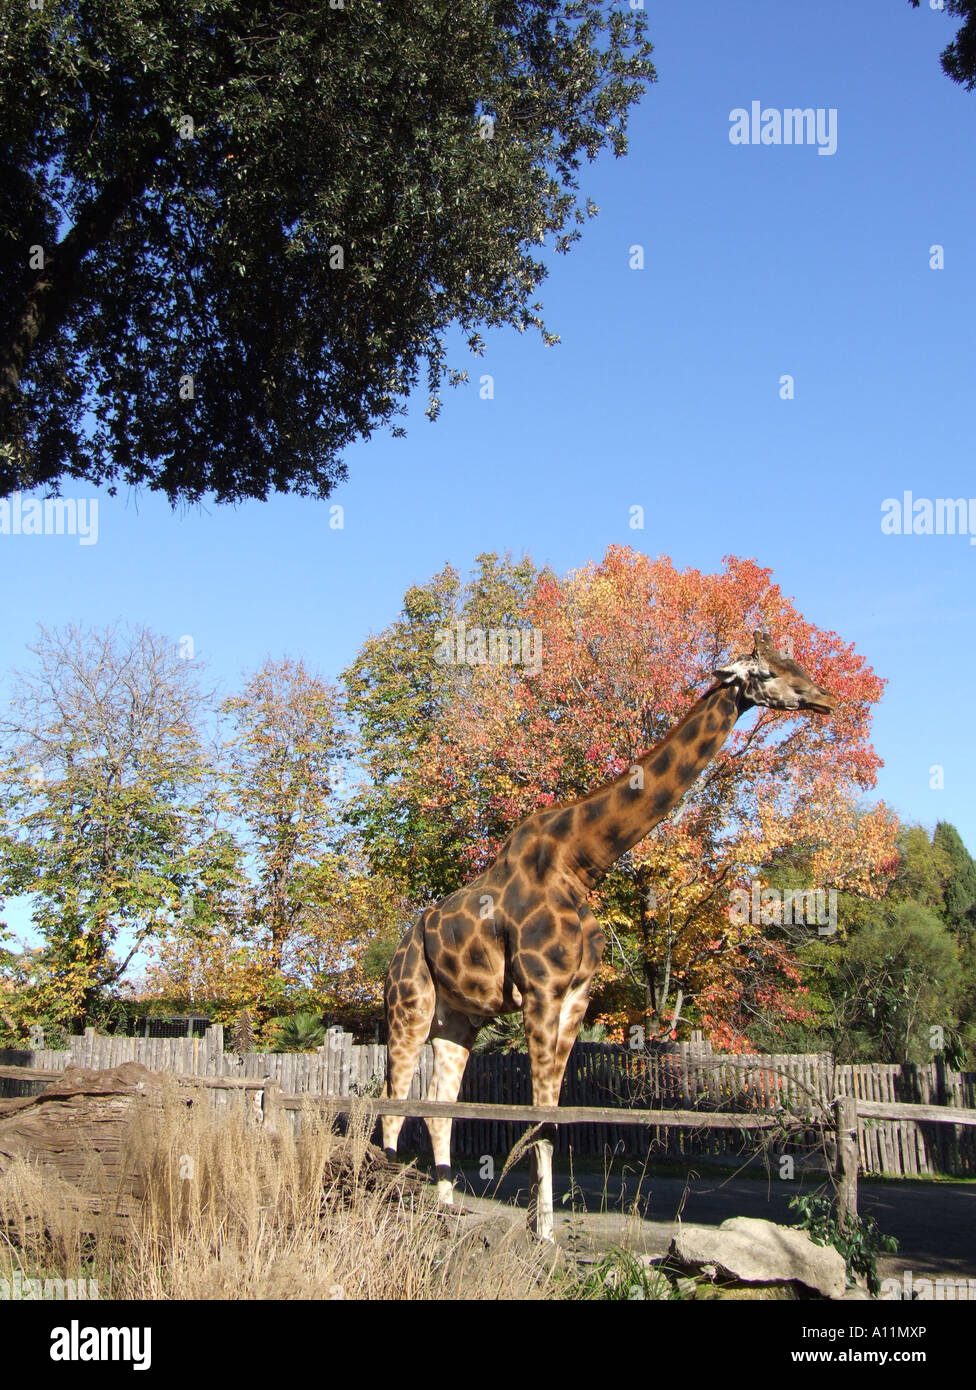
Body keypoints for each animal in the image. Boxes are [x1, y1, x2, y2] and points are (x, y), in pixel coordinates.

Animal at [382, 630, 837, 1239]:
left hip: (458, 1019)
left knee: (439, 1109)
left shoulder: (576, 995)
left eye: (795, 663)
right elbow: (538, 1119)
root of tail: (399, 953)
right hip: (408, 1005)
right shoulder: (541, 990)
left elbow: (551, 1122)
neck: (580, 862)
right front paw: (543, 1234)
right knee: (391, 1103)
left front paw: (545, 1231)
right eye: (765, 672)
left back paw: (447, 1210)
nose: (823, 698)